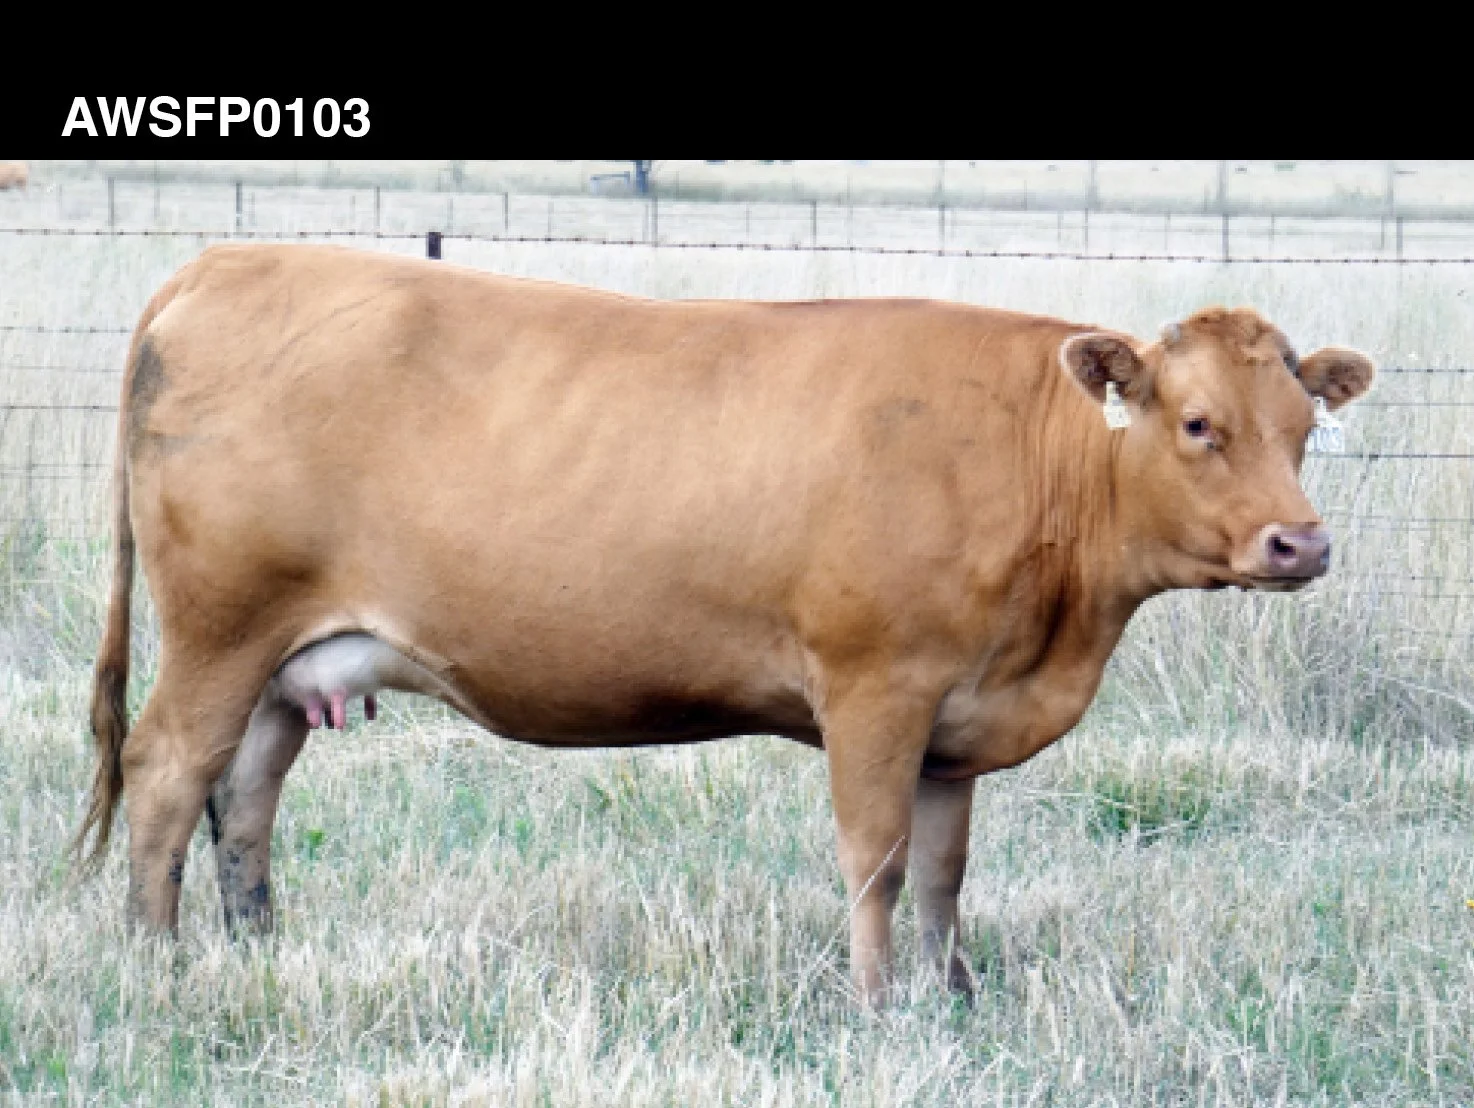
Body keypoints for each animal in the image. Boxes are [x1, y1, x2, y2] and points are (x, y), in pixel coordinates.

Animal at [75, 243, 1375, 1008]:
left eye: (1301, 424)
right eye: (1198, 423)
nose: (1299, 545)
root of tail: (229, 260)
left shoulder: (957, 717)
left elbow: (945, 869)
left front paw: (952, 998)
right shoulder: (876, 686)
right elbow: (877, 859)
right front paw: (873, 1008)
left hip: (289, 659)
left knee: (243, 794)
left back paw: (255, 949)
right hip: (221, 627)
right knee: (167, 771)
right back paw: (153, 963)